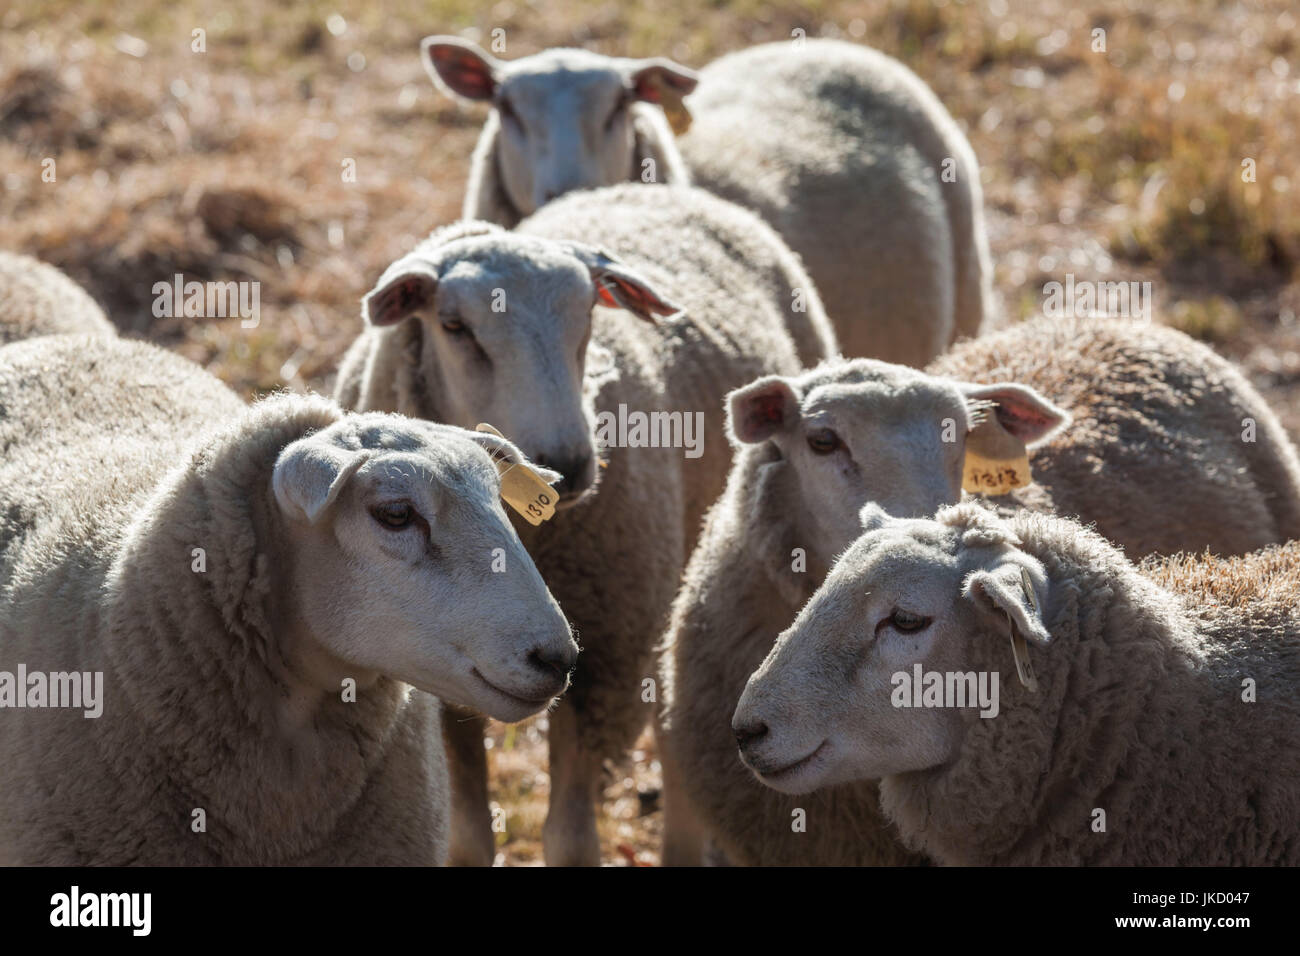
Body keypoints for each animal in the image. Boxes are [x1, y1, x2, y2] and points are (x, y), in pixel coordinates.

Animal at [335, 182, 836, 865]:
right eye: (455, 326)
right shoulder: (434, 676)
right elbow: (467, 836)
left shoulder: (601, 665)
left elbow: (569, 837)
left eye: (588, 318)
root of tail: (650, 186)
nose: (566, 464)